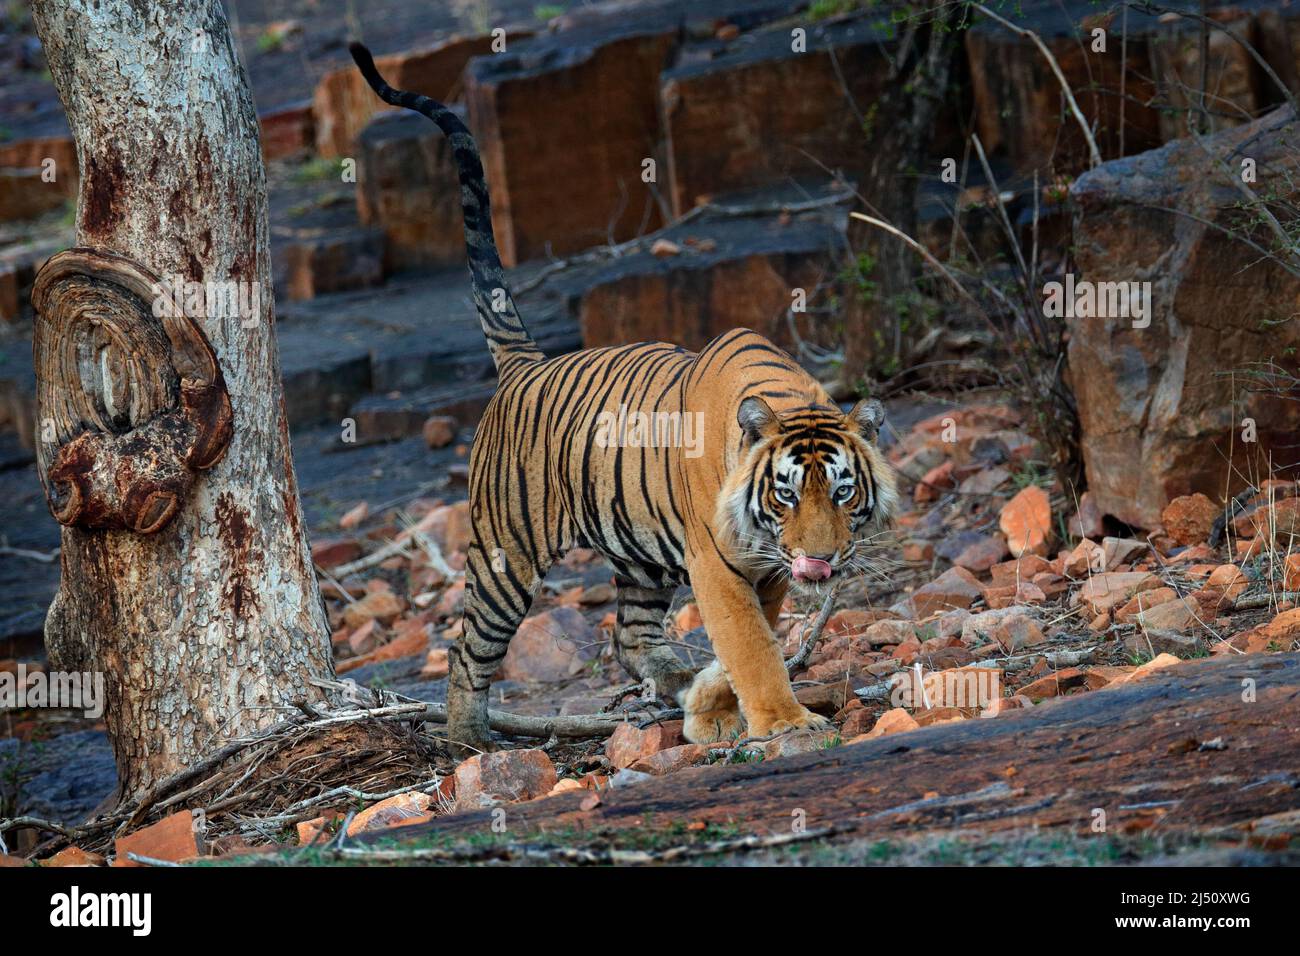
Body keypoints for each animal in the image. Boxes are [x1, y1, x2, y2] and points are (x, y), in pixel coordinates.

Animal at [349, 44, 899, 754]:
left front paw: (717, 704)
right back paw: (470, 740)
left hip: (641, 557)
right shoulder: (721, 561)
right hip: (506, 554)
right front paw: (784, 723)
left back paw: (679, 683)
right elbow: (751, 644)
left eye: (842, 491)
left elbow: (755, 637)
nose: (822, 560)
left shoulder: (765, 566)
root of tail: (525, 364)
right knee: (468, 651)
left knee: (629, 638)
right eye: (785, 493)